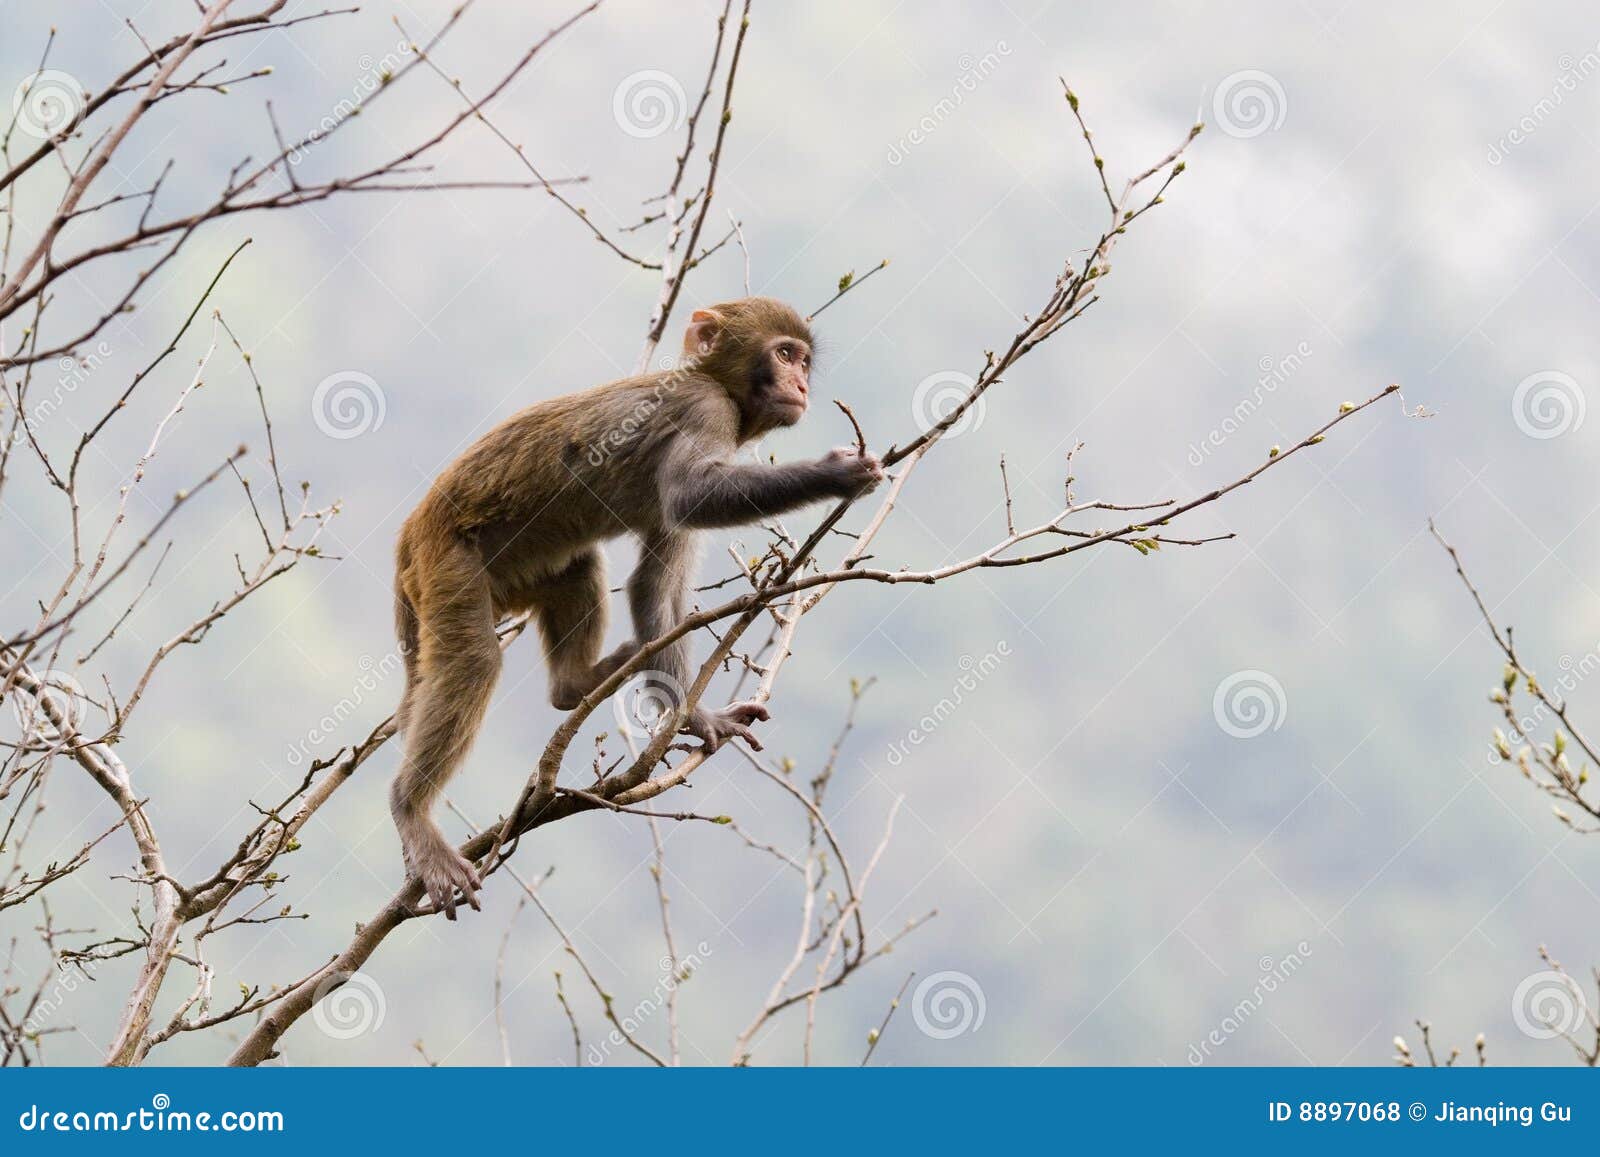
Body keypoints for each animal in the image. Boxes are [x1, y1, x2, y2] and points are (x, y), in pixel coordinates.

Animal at [389, 297, 884, 917]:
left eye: (804, 360)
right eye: (785, 353)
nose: (800, 383)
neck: (714, 381)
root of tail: (408, 542)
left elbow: (654, 584)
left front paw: (693, 714)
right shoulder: (705, 411)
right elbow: (691, 496)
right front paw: (838, 472)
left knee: (576, 568)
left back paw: (576, 685)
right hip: (447, 563)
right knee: (475, 658)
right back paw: (411, 808)